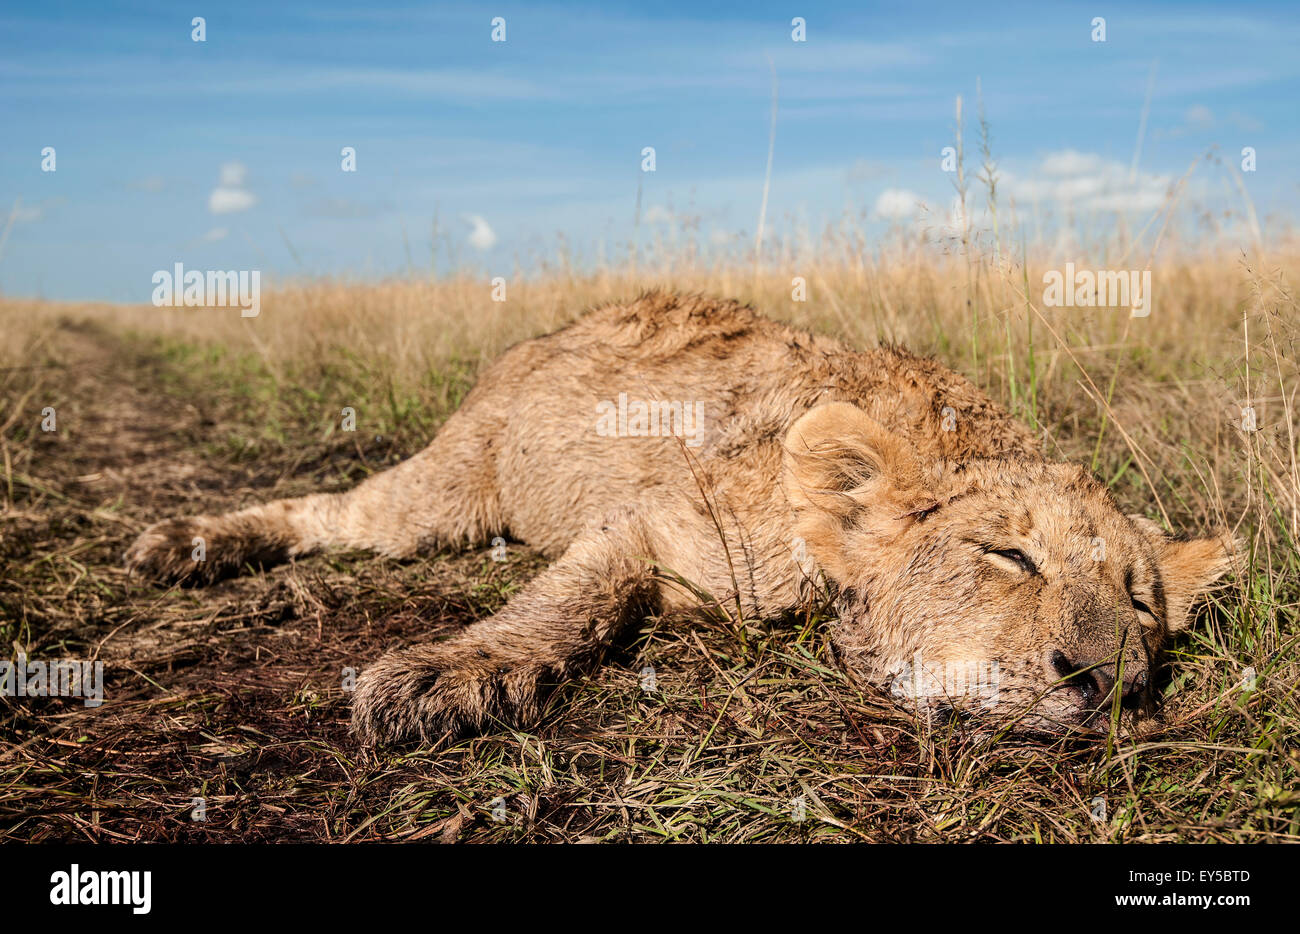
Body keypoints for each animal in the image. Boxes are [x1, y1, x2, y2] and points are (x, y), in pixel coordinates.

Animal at [123, 292, 1236, 742]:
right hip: (443, 491)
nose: (1108, 683)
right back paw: (190, 542)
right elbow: (570, 600)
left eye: (1140, 604)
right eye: (1008, 556)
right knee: (332, 511)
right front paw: (450, 675)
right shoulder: (656, 521)